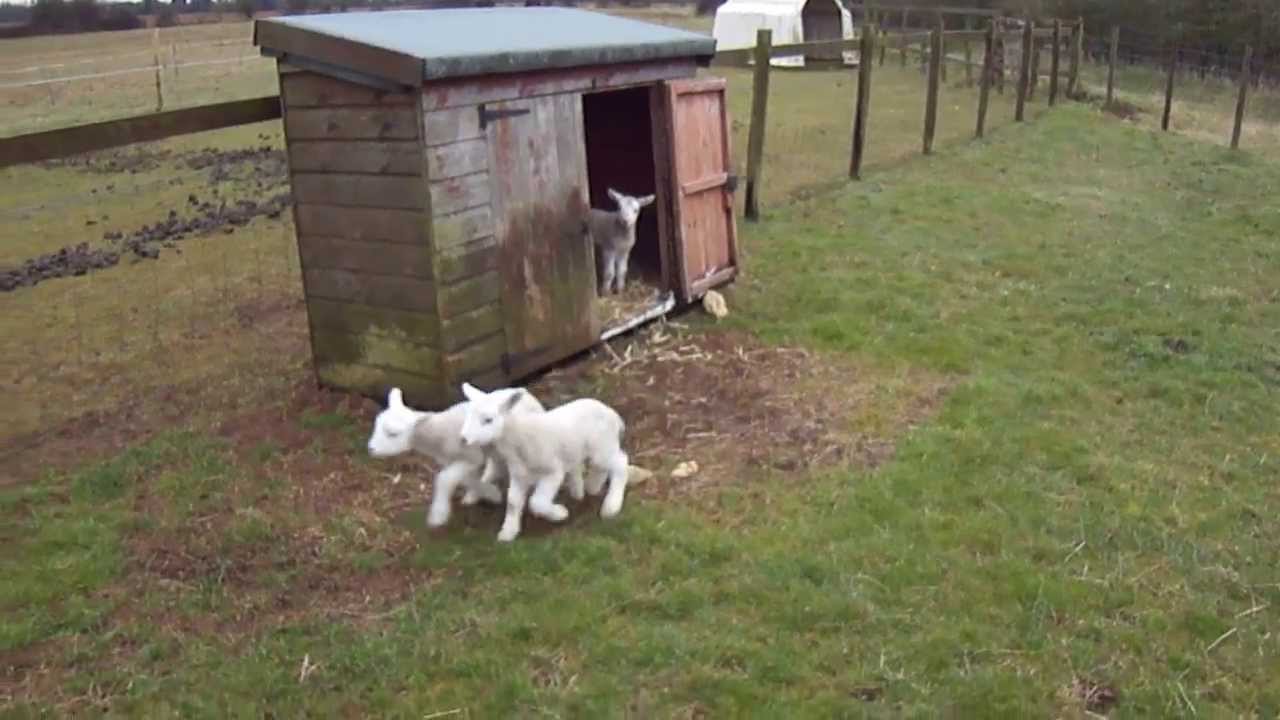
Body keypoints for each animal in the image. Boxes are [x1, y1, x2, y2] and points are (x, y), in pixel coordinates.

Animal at [366, 386, 545, 530]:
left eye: (393, 434)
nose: (371, 449)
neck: (440, 434)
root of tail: (527, 394)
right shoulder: (453, 460)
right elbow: (464, 480)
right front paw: (489, 493)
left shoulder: (471, 457)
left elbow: (444, 479)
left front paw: (438, 515)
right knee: (495, 465)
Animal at [459, 382, 630, 543]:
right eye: (468, 416)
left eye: (488, 420)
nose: (463, 439)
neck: (520, 436)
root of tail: (612, 413)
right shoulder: (519, 475)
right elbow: (513, 502)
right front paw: (508, 532)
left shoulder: (552, 471)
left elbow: (537, 502)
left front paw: (560, 513)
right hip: (597, 448)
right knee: (601, 467)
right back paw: (592, 487)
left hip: (603, 447)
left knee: (621, 464)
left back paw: (611, 506)